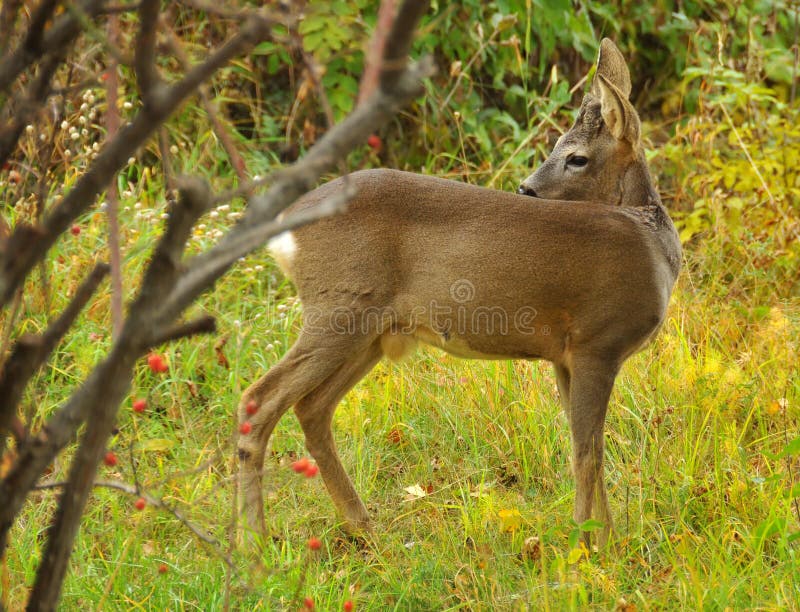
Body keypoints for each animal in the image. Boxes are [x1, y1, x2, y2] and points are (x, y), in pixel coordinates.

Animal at [237, 38, 681, 549]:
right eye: (561, 150)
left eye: (576, 157)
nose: (525, 189)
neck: (654, 247)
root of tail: (285, 229)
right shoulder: (597, 341)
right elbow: (589, 451)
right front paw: (592, 547)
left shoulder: (564, 355)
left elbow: (583, 447)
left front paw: (599, 538)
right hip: (339, 307)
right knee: (260, 398)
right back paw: (254, 540)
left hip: (370, 329)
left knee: (312, 408)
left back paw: (363, 527)